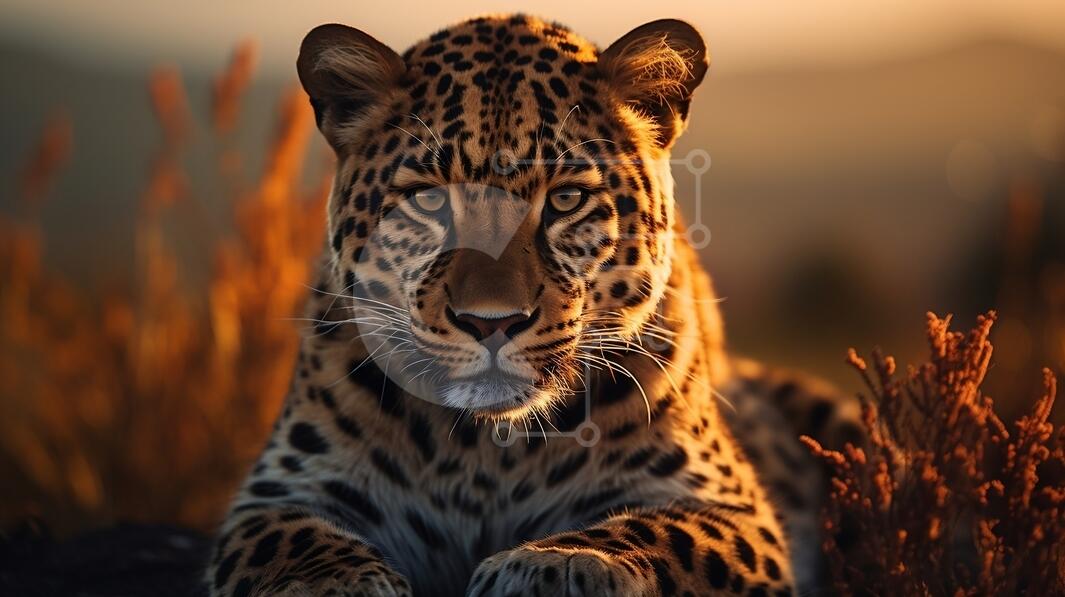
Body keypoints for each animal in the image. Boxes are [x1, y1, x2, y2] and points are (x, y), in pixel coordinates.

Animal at [205, 14, 863, 597]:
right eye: (429, 200)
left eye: (566, 199)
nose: (490, 323)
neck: (483, 453)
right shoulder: (284, 487)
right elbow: (287, 540)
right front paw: (331, 580)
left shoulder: (729, 504)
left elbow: (658, 532)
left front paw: (561, 564)